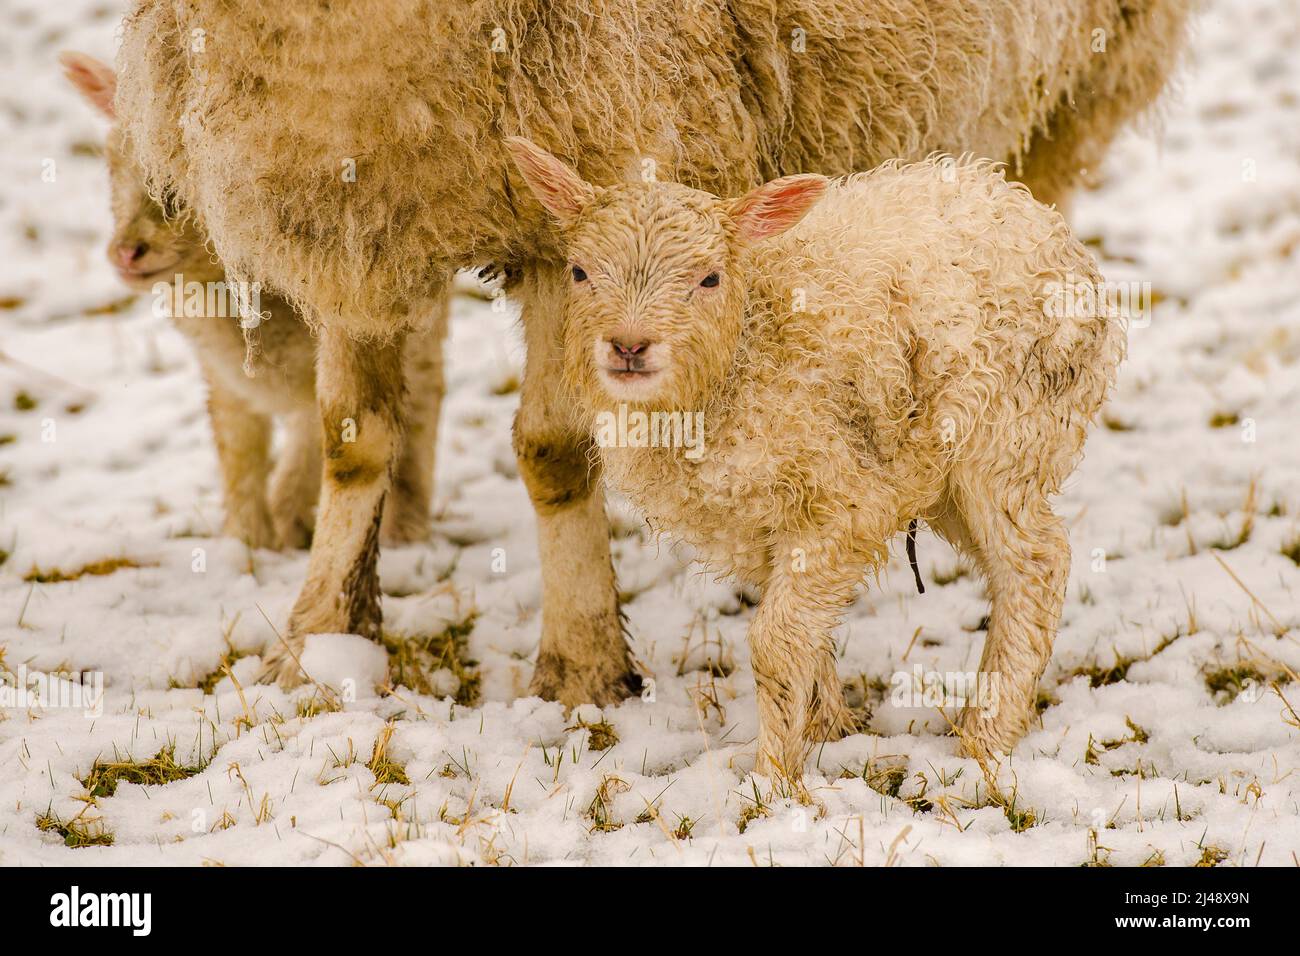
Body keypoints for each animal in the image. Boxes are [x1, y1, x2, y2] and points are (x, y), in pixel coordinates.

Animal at [62, 51, 446, 550]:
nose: (127, 251)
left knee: (425, 391)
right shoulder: (223, 379)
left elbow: (314, 447)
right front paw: (246, 545)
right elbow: (238, 456)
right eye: (112, 166)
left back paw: (407, 529)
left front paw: (287, 526)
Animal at [114, 0, 1187, 698]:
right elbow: (353, 440)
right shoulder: (355, 223)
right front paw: (321, 643)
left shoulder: (581, 204)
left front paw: (583, 663)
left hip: (1069, 94)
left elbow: (553, 453)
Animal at [506, 137, 1125, 775]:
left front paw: (773, 777)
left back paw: (987, 737)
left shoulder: (844, 501)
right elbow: (803, 632)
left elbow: (774, 643)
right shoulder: (761, 522)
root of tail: (1035, 217)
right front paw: (826, 728)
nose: (629, 346)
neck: (743, 353)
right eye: (579, 272)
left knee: (1036, 562)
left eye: (709, 278)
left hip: (1007, 438)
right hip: (944, 474)